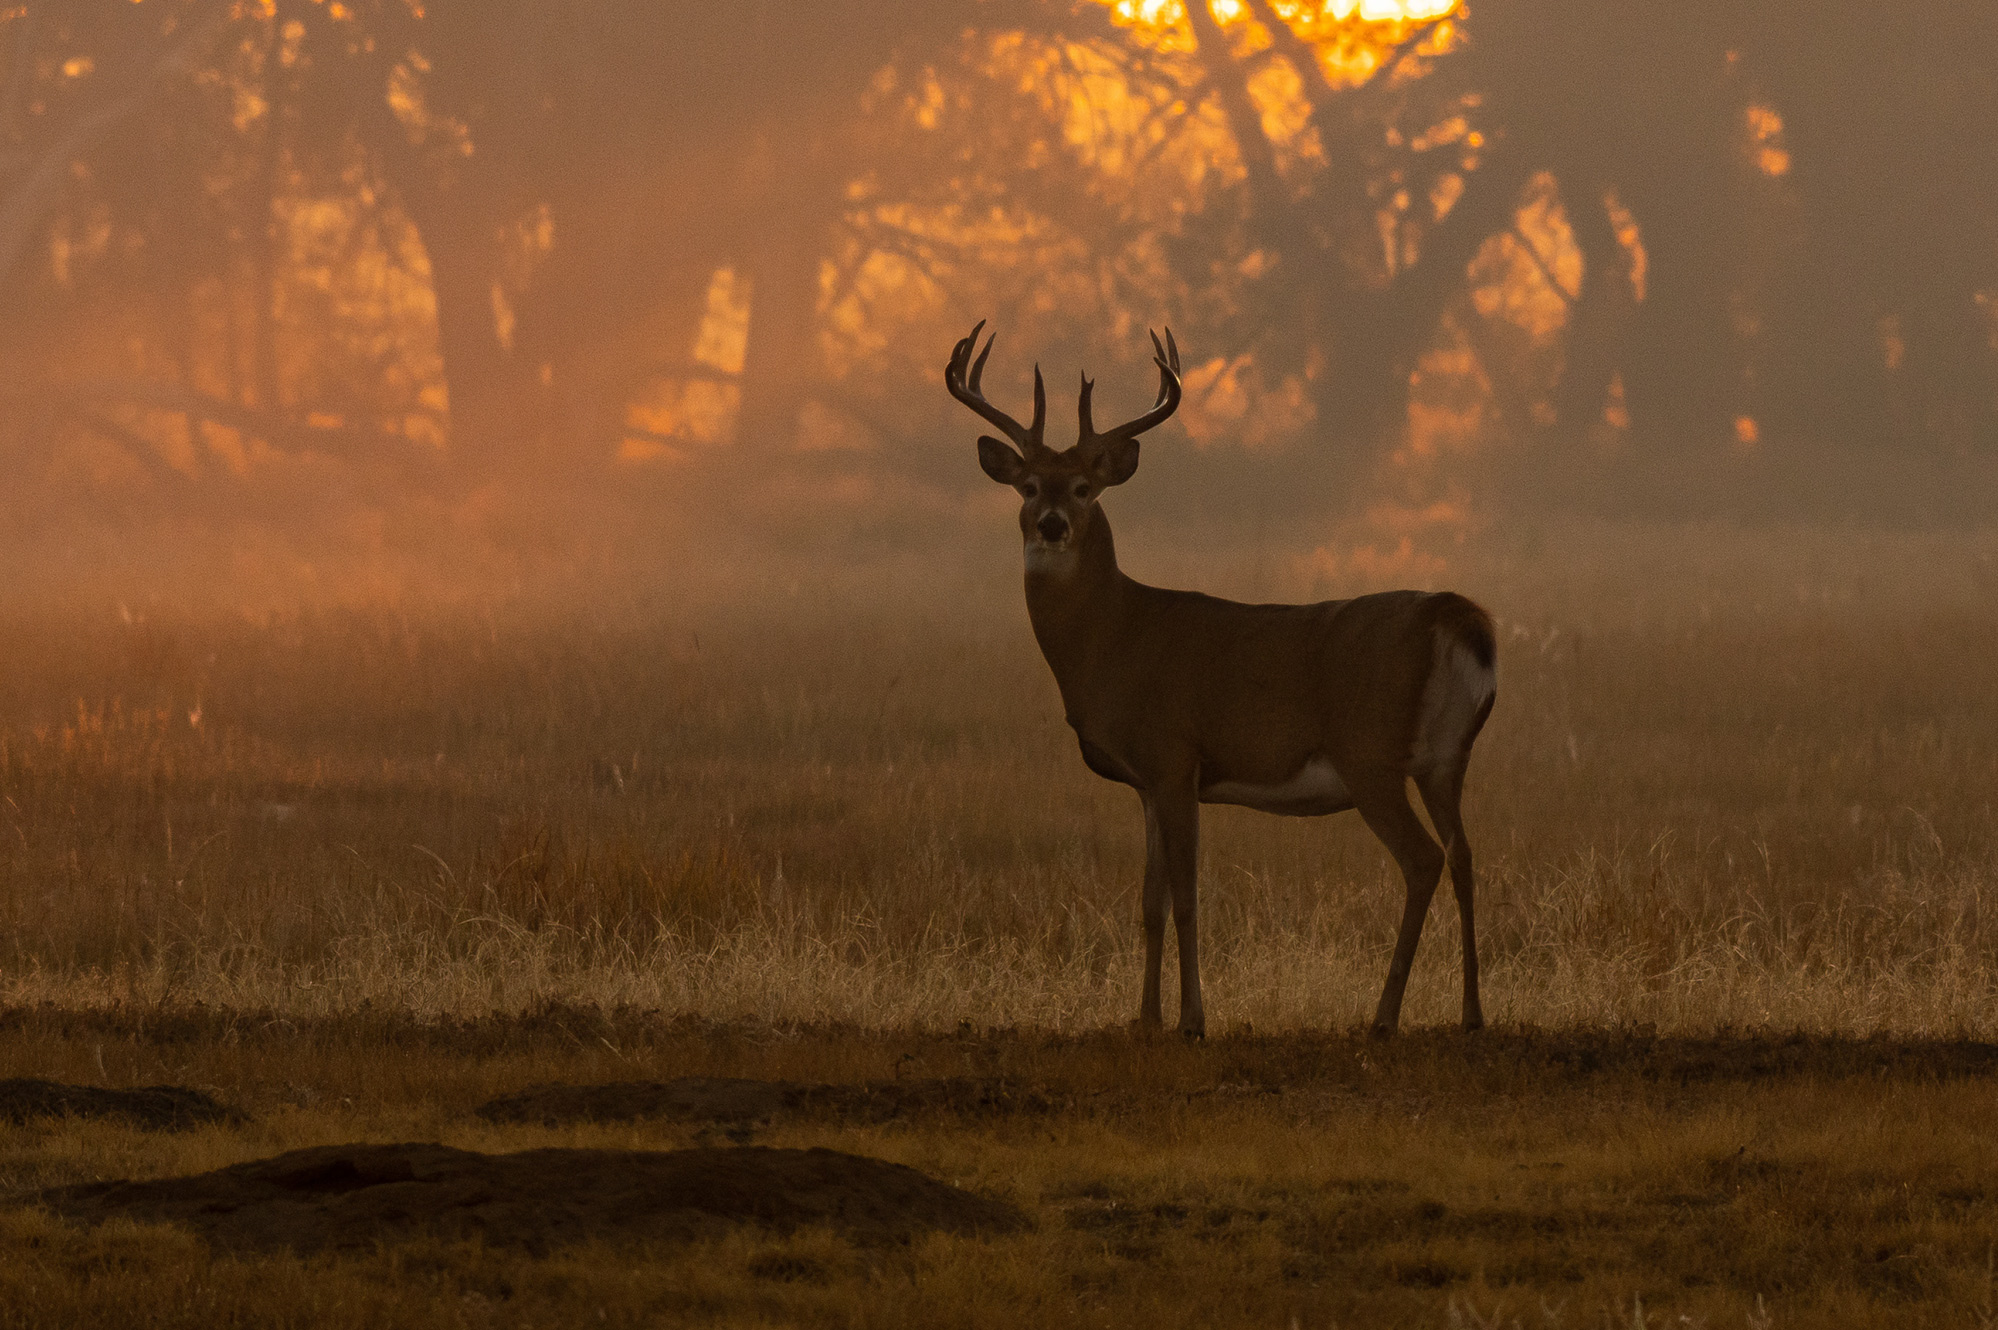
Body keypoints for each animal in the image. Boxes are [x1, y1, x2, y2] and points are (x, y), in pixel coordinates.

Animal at [945, 321, 1497, 1038]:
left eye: (1086, 487)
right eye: (1029, 485)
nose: (1052, 525)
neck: (1116, 636)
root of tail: (1454, 615)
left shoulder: (1176, 756)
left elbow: (1186, 898)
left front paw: (1192, 1020)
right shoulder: (1148, 782)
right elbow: (1149, 902)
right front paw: (1144, 1019)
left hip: (1370, 755)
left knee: (1424, 859)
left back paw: (1383, 1016)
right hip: (1445, 758)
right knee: (1464, 856)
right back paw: (1472, 1013)